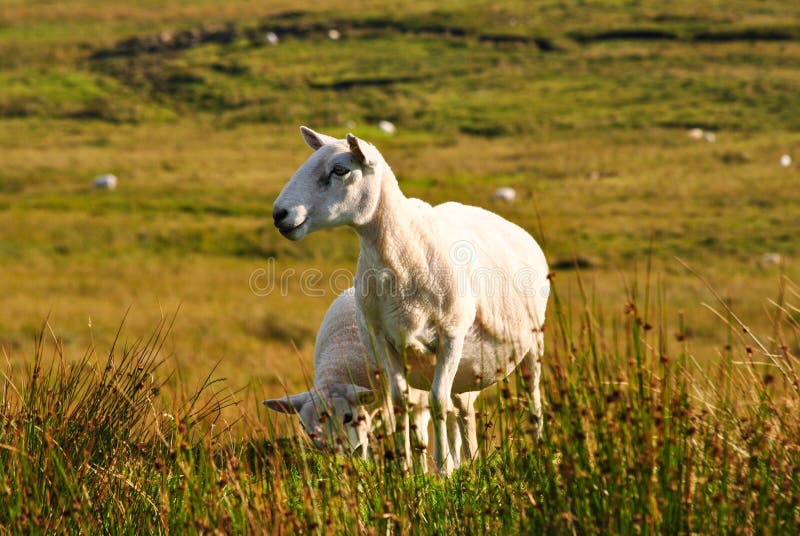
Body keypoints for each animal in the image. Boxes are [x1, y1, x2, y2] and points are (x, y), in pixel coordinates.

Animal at [264, 288, 478, 468]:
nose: (336, 458)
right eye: (303, 426)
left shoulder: (416, 404)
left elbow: (419, 443)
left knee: (461, 420)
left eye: (347, 416)